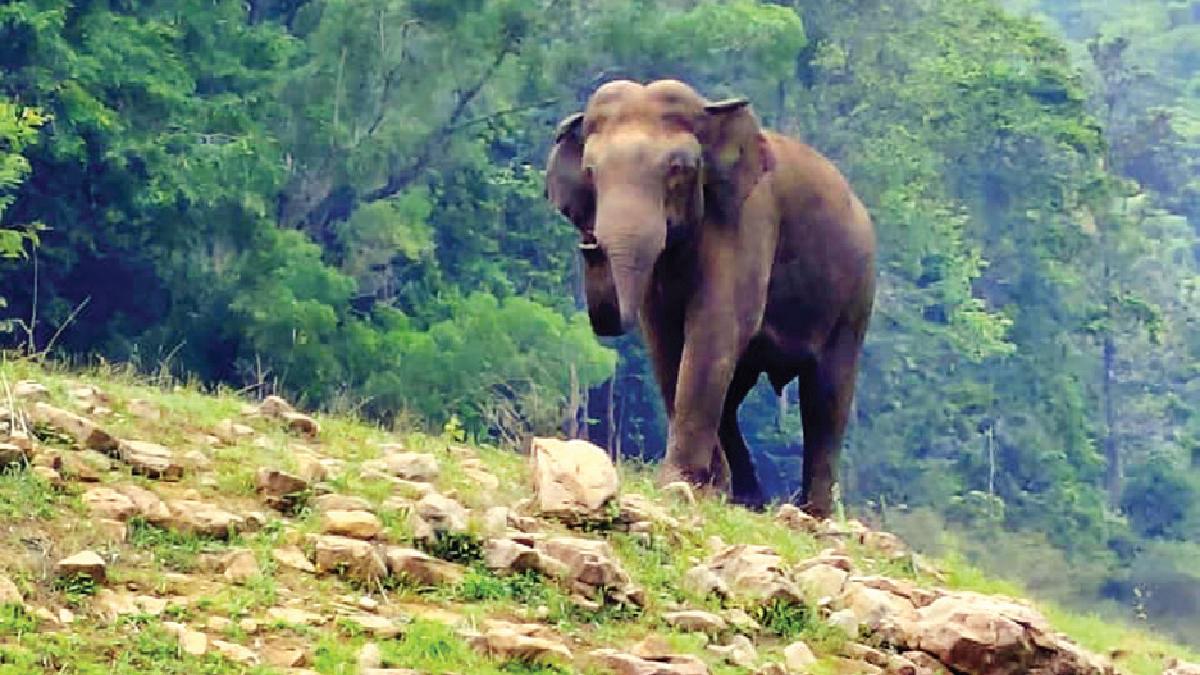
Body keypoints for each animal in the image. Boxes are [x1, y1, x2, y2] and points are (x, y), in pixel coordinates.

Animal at [544, 79, 875, 518]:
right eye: (590, 172)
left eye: (677, 170)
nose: (589, 242)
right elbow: (666, 342)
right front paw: (703, 487)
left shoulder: (749, 219)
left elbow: (717, 327)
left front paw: (677, 484)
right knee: (734, 393)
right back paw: (748, 499)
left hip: (855, 293)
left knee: (826, 394)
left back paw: (810, 513)